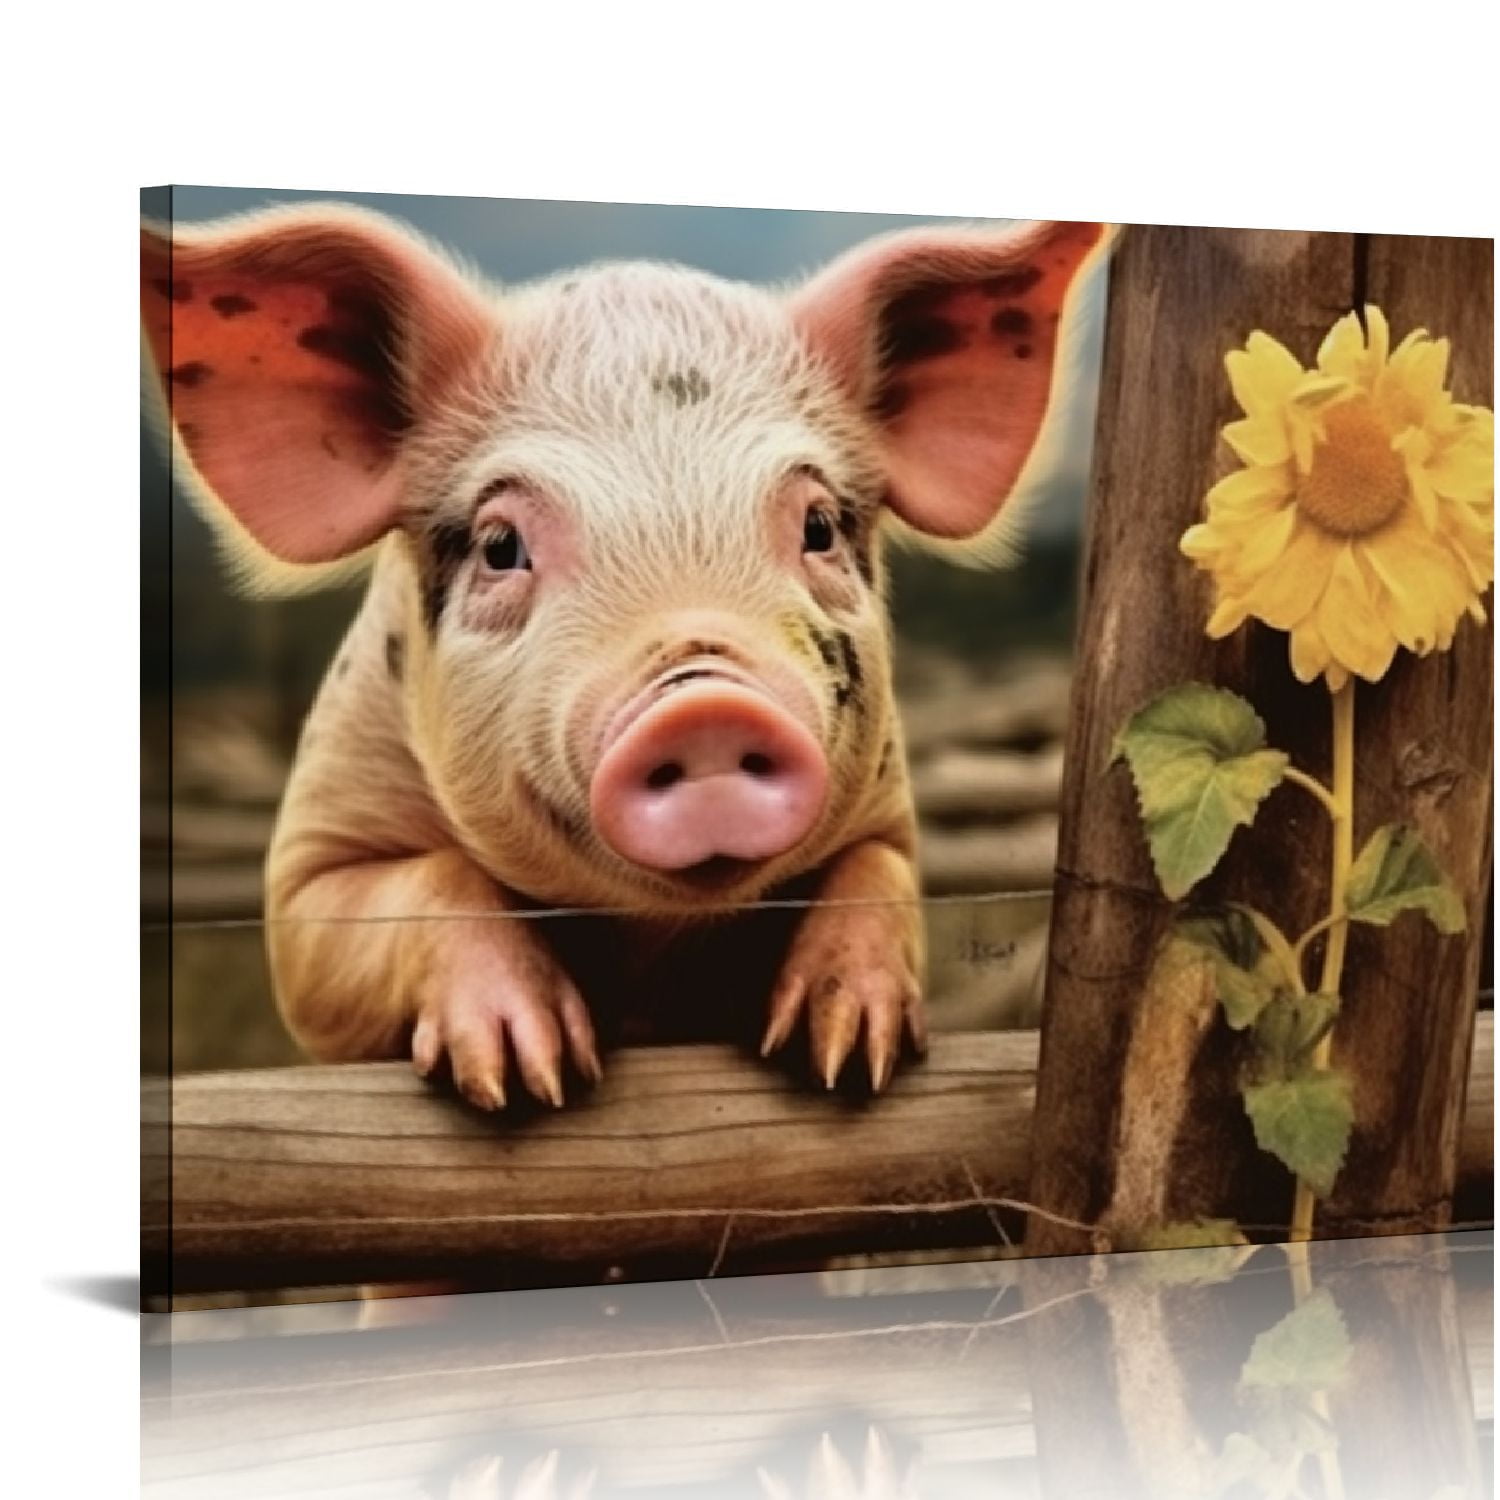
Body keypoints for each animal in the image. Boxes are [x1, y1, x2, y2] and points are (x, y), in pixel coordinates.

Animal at [142, 205, 1105, 1109]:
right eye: (500, 545)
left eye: (820, 526)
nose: (705, 703)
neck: (648, 946)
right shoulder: (313, 857)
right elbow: (388, 899)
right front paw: (527, 1075)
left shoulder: (889, 810)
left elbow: (880, 871)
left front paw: (843, 1052)